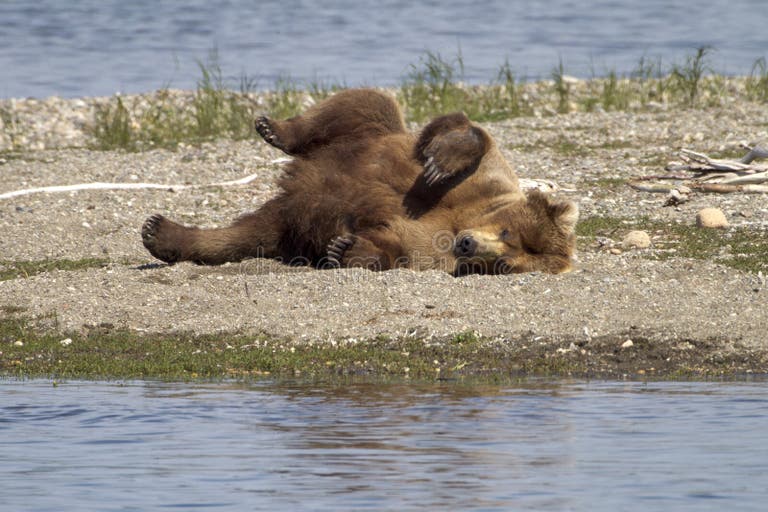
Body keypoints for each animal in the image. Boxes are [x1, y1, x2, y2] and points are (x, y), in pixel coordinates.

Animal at [141, 88, 578, 275]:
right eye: (506, 231)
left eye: (504, 263)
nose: (469, 245)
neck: (464, 218)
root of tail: (290, 197)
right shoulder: (485, 179)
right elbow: (467, 132)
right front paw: (443, 160)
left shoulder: (432, 248)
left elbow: (396, 246)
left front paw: (346, 249)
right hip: (367, 137)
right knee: (365, 102)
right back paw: (275, 128)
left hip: (287, 229)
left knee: (241, 237)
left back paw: (160, 233)